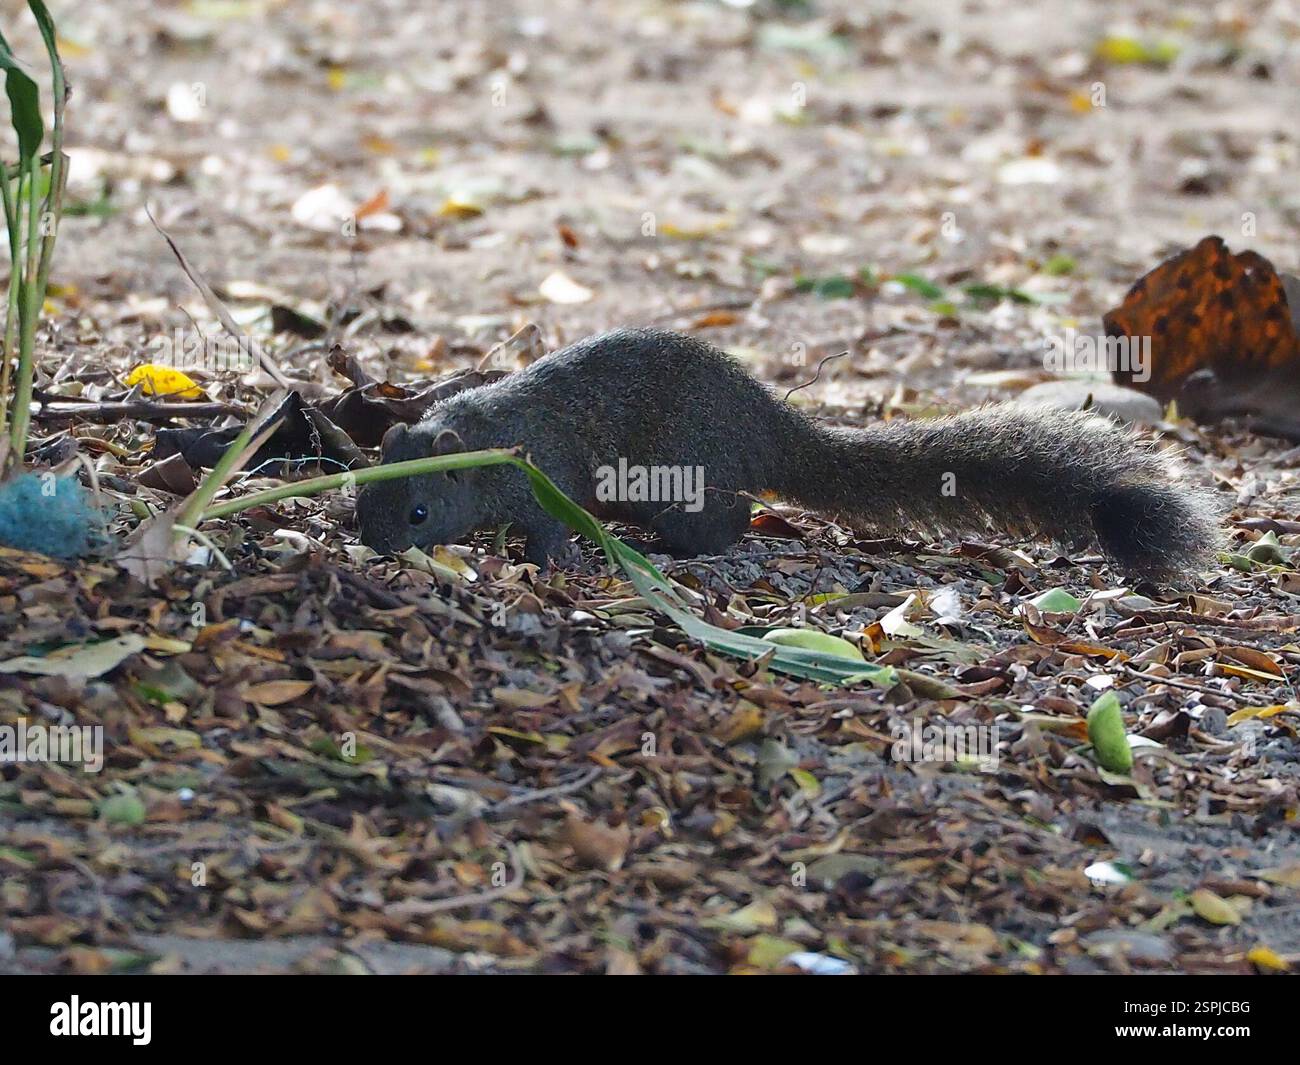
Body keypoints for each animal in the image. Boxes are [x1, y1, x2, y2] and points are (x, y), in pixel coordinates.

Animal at [356, 327, 1220, 578]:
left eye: (420, 510)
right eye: (362, 489)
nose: (370, 542)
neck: (482, 435)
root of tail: (767, 426)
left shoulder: (548, 472)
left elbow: (546, 524)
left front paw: (544, 559)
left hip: (684, 479)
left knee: (729, 520)